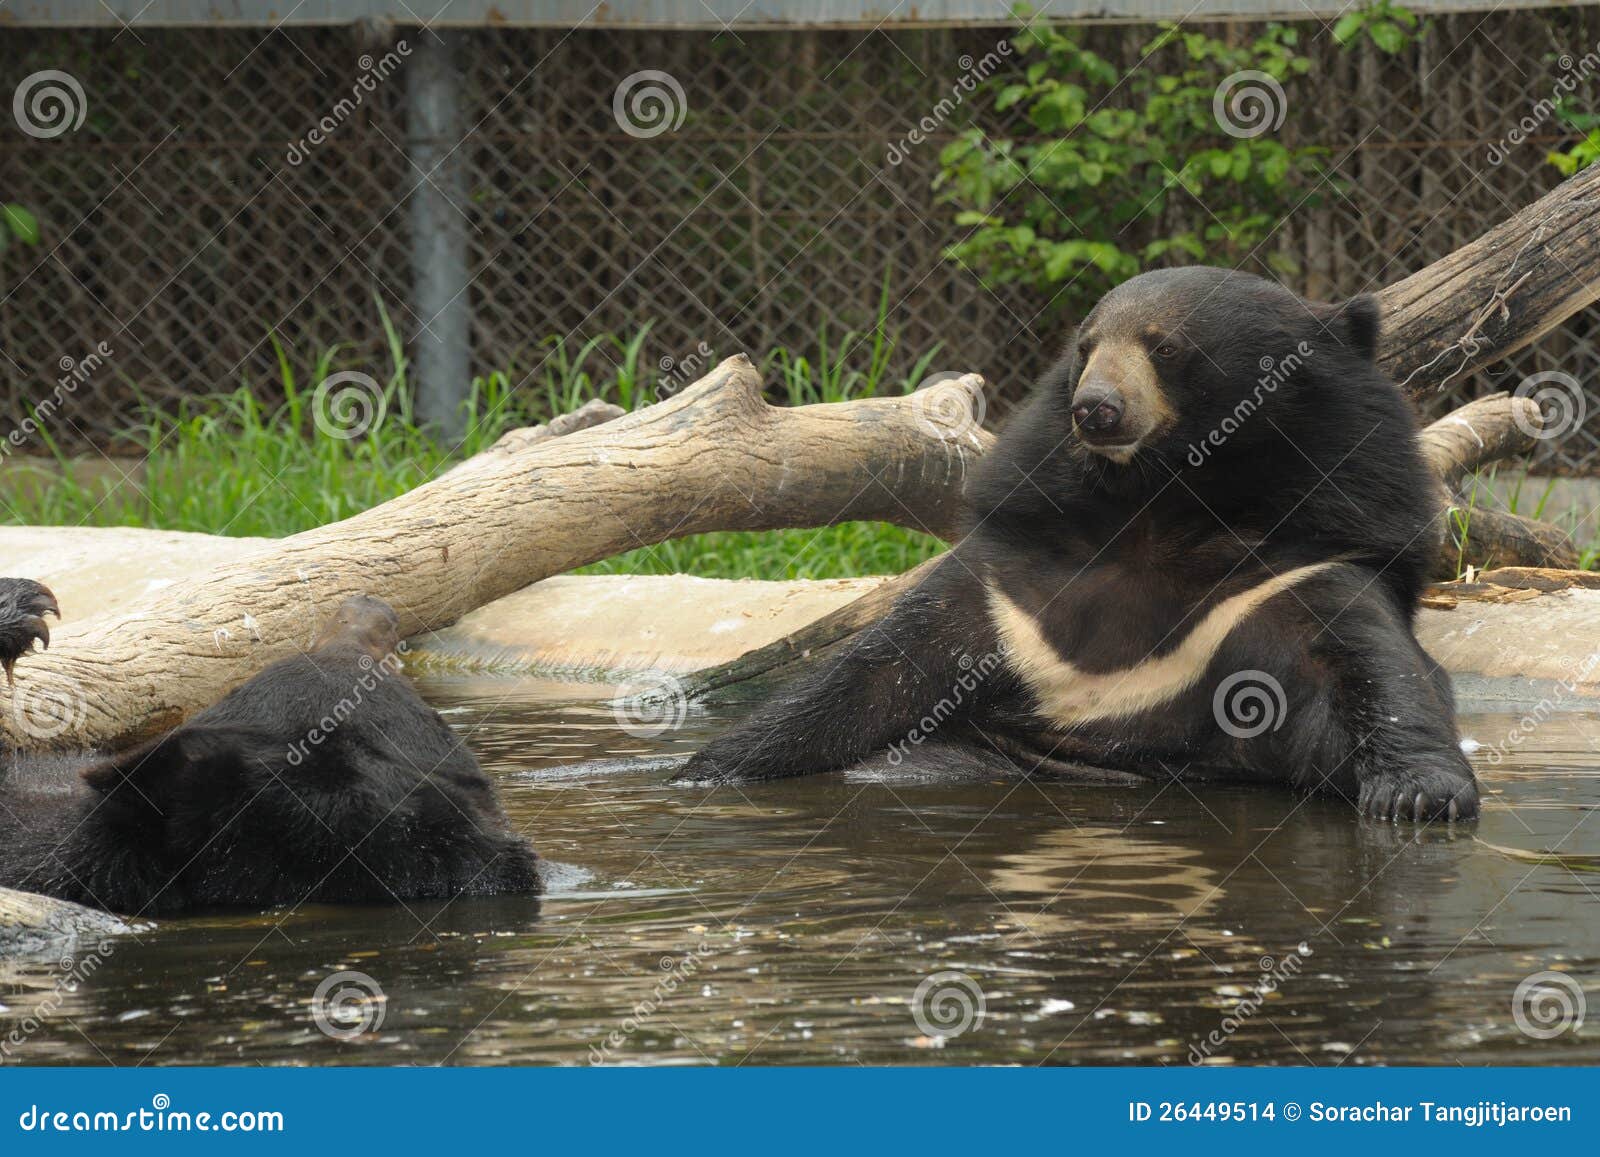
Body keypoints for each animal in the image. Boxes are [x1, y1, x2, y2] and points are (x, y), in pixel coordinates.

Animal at [673, 266, 1480, 823]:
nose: (1097, 408)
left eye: (1164, 346)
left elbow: (1366, 663)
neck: (1166, 495)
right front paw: (707, 765)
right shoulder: (1017, 574)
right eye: (1086, 348)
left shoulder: (1302, 556)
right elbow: (879, 669)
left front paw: (1418, 796)